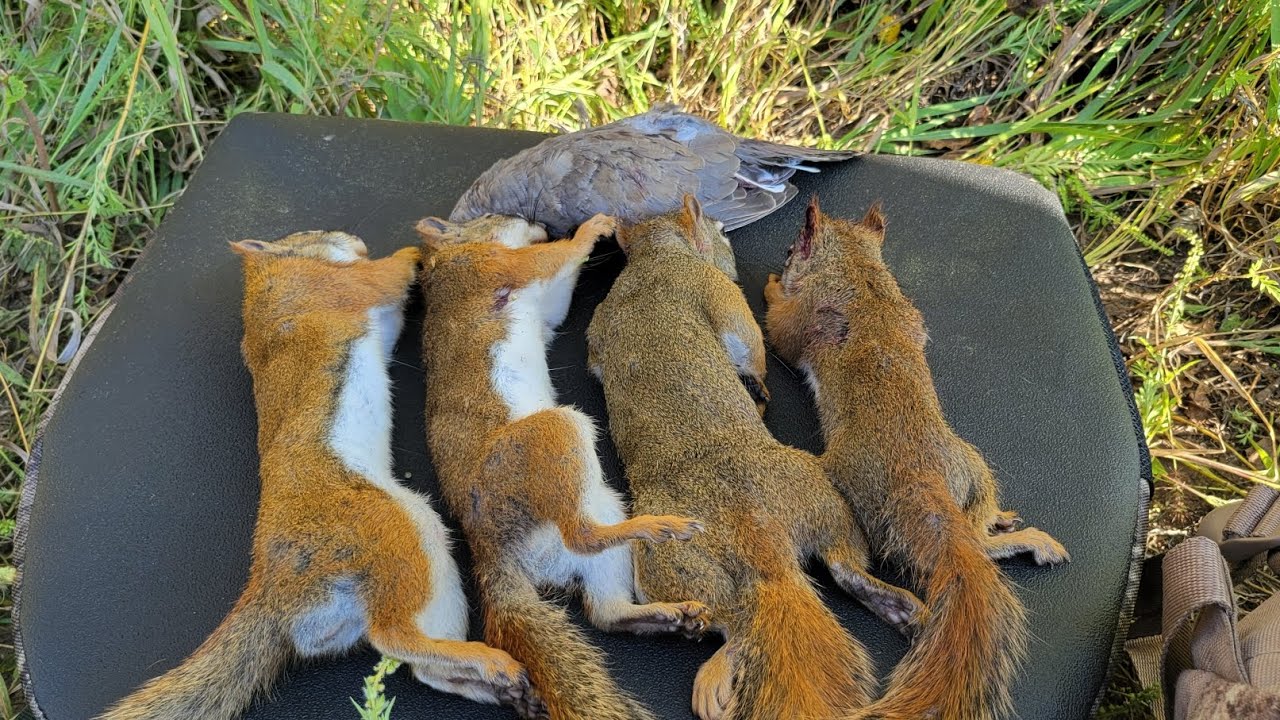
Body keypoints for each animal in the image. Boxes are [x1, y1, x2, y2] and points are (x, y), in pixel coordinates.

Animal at [99, 231, 540, 720]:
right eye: (309, 235)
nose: (356, 240)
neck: (271, 288)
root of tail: (277, 586)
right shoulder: (343, 289)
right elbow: (383, 277)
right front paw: (413, 252)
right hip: (401, 527)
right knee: (394, 635)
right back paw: (489, 662)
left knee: (417, 663)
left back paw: (493, 683)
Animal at [415, 212, 709, 720]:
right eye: (490, 216)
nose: (531, 219)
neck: (455, 257)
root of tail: (495, 548)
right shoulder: (498, 267)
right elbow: (554, 257)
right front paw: (593, 227)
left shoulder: (543, 306)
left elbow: (557, 296)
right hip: (550, 436)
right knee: (583, 535)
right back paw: (660, 527)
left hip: (600, 503)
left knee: (605, 609)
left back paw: (665, 614)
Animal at [585, 196, 928, 720]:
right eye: (721, 229)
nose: (728, 243)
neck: (653, 258)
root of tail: (764, 551)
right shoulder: (719, 293)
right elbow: (749, 341)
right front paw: (758, 385)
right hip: (674, 554)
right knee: (737, 624)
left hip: (813, 505)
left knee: (830, 571)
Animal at [762, 197, 1071, 720]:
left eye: (790, 249)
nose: (781, 260)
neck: (859, 271)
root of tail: (919, 478)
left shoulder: (803, 318)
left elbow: (780, 328)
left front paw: (767, 287)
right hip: (972, 468)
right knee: (979, 538)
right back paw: (1016, 533)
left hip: (847, 489)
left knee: (847, 565)